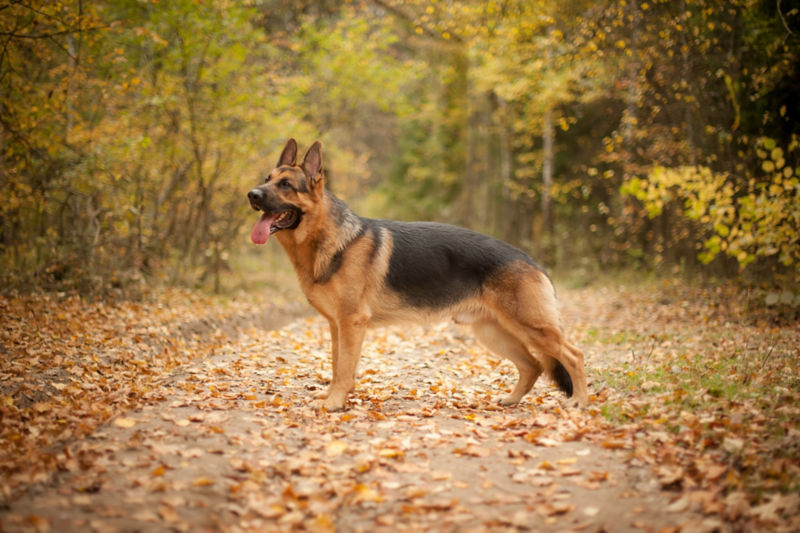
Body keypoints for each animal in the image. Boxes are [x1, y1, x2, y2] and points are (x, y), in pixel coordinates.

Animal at [244, 139, 588, 410]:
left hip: (531, 328)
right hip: (495, 334)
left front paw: (334, 403)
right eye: (267, 179)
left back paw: (580, 402)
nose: (252, 195)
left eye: (286, 185)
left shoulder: (352, 323)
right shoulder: (336, 326)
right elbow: (337, 364)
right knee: (532, 366)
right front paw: (334, 396)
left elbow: (344, 369)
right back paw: (512, 400)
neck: (329, 238)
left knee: (574, 355)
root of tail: (531, 261)